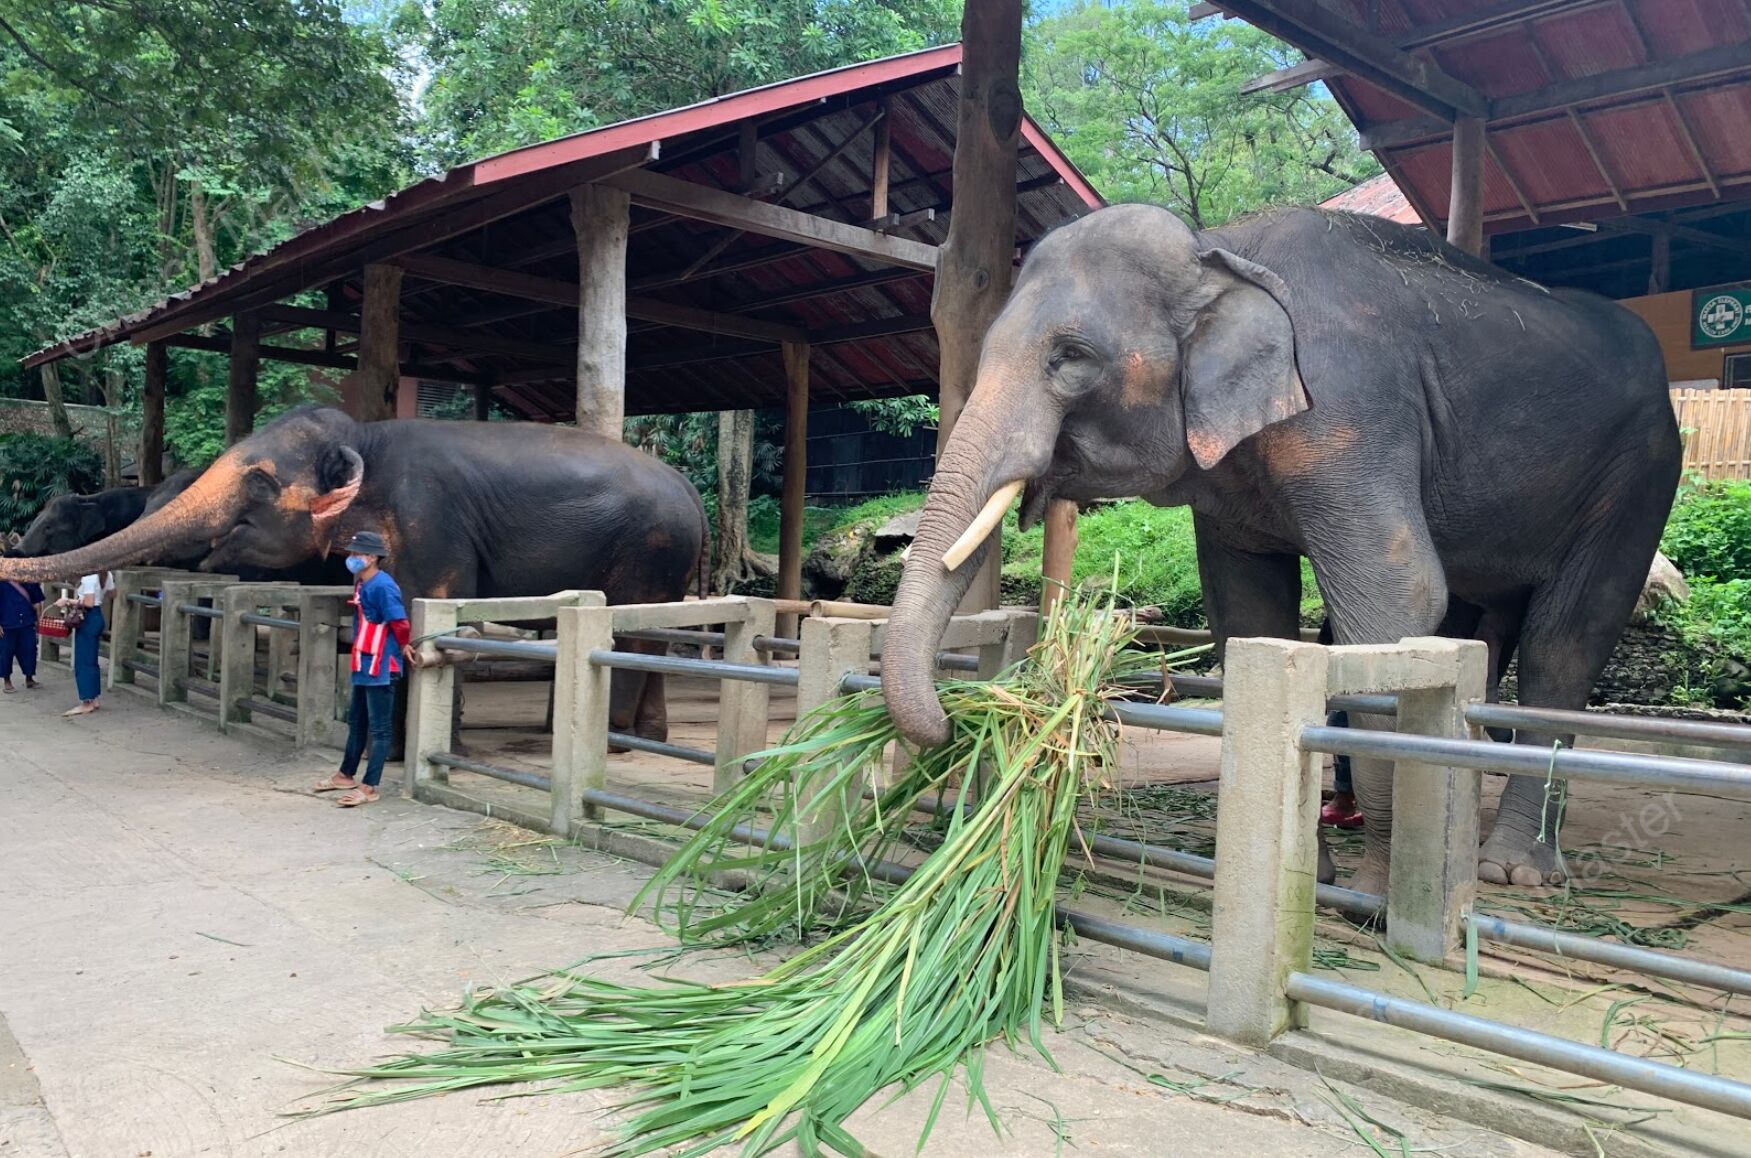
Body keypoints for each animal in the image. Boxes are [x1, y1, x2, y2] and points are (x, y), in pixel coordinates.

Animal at [0, 406, 709, 741]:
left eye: (259, 483)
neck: (366, 436)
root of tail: (692, 491)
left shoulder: (430, 518)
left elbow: (431, 604)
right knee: (654, 634)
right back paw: (643, 736)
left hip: (650, 546)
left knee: (627, 632)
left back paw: (610, 739)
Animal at [880, 203, 1682, 897]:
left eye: (1071, 356)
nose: (955, 720)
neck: (1219, 249)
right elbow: (1248, 614)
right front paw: (1308, 875)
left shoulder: (1350, 410)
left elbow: (1397, 598)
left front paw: (1372, 895)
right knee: (1479, 630)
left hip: (1640, 475)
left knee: (1564, 641)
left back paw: (1511, 870)